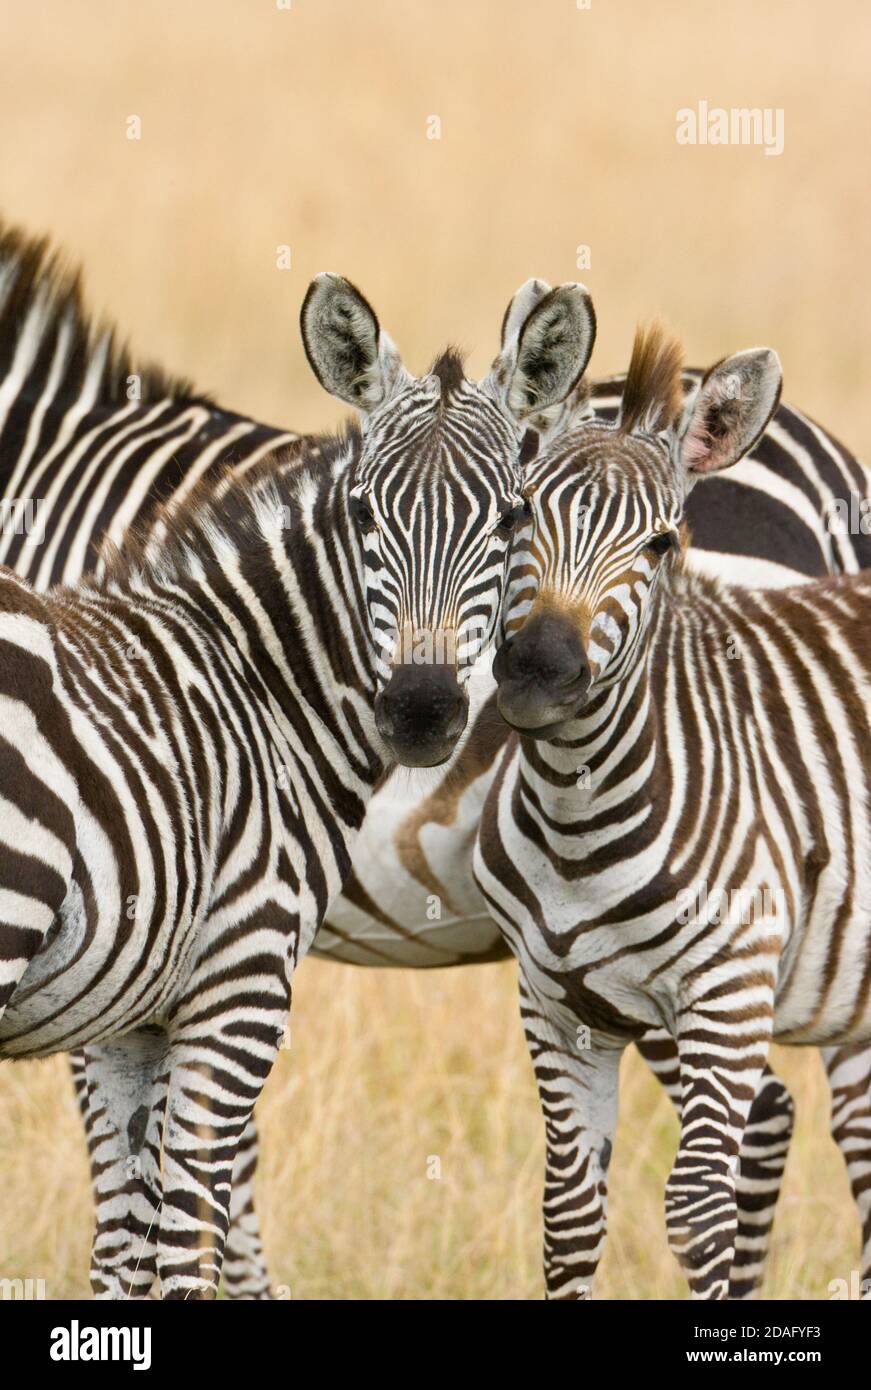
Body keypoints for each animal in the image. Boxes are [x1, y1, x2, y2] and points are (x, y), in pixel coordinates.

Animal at [0, 241, 592, 1297]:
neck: (258, 683)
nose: (421, 708)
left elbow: (139, 1243)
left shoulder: (145, 1009)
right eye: (362, 512)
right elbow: (167, 1239)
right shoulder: (218, 985)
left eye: (509, 516)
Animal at [475, 321, 871, 1299]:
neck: (575, 819)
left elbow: (698, 1213)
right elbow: (569, 1219)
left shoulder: (727, 996)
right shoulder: (553, 1008)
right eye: (516, 515)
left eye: (660, 544)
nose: (538, 671)